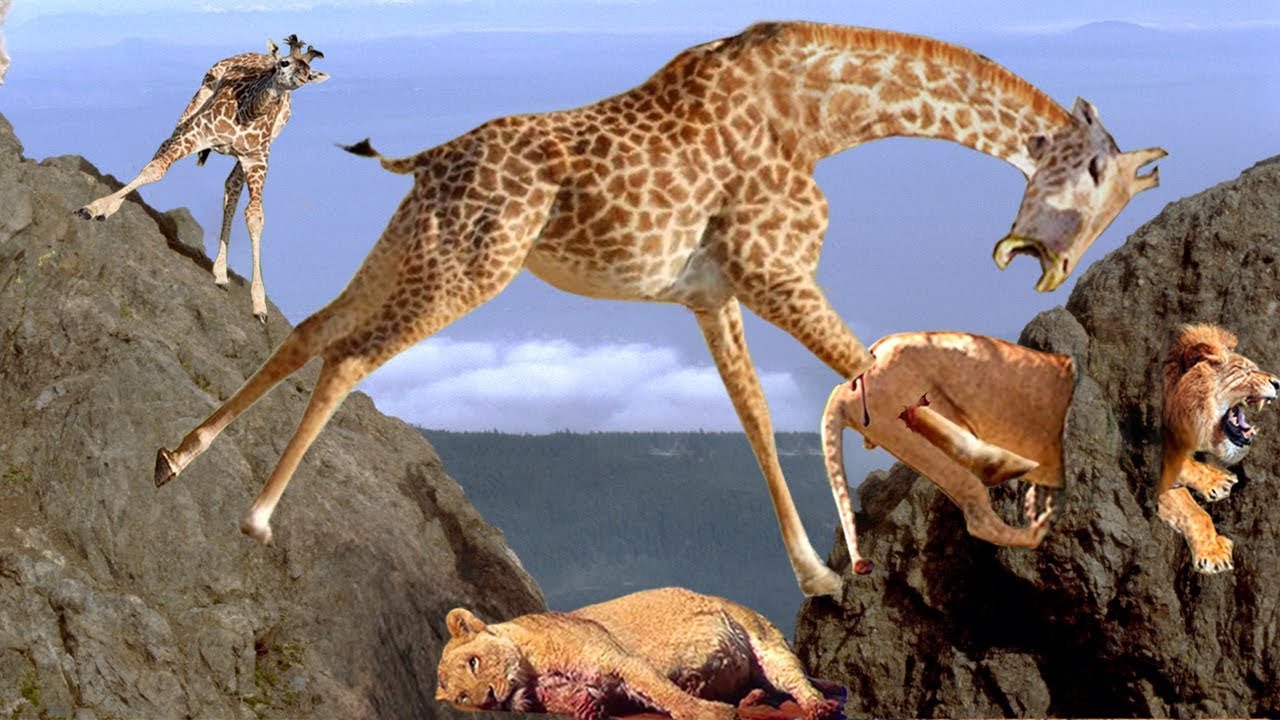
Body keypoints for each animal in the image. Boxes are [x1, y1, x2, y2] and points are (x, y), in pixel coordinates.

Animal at [76, 35, 329, 321]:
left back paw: (220, 274)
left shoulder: (257, 160)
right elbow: (156, 169)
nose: (300, 78)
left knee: (231, 188)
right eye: (284, 62)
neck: (250, 112)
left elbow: (255, 215)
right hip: (194, 105)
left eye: (309, 72)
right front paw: (94, 208)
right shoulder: (198, 132)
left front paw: (259, 305)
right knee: (164, 145)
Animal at [435, 587, 843, 720]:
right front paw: (585, 707)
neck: (533, 674)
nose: (488, 698)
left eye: (473, 662)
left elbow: (666, 694)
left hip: (765, 643)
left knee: (796, 682)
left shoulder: (622, 662)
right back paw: (747, 696)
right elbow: (577, 700)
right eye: (462, 697)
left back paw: (816, 705)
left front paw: (711, 713)